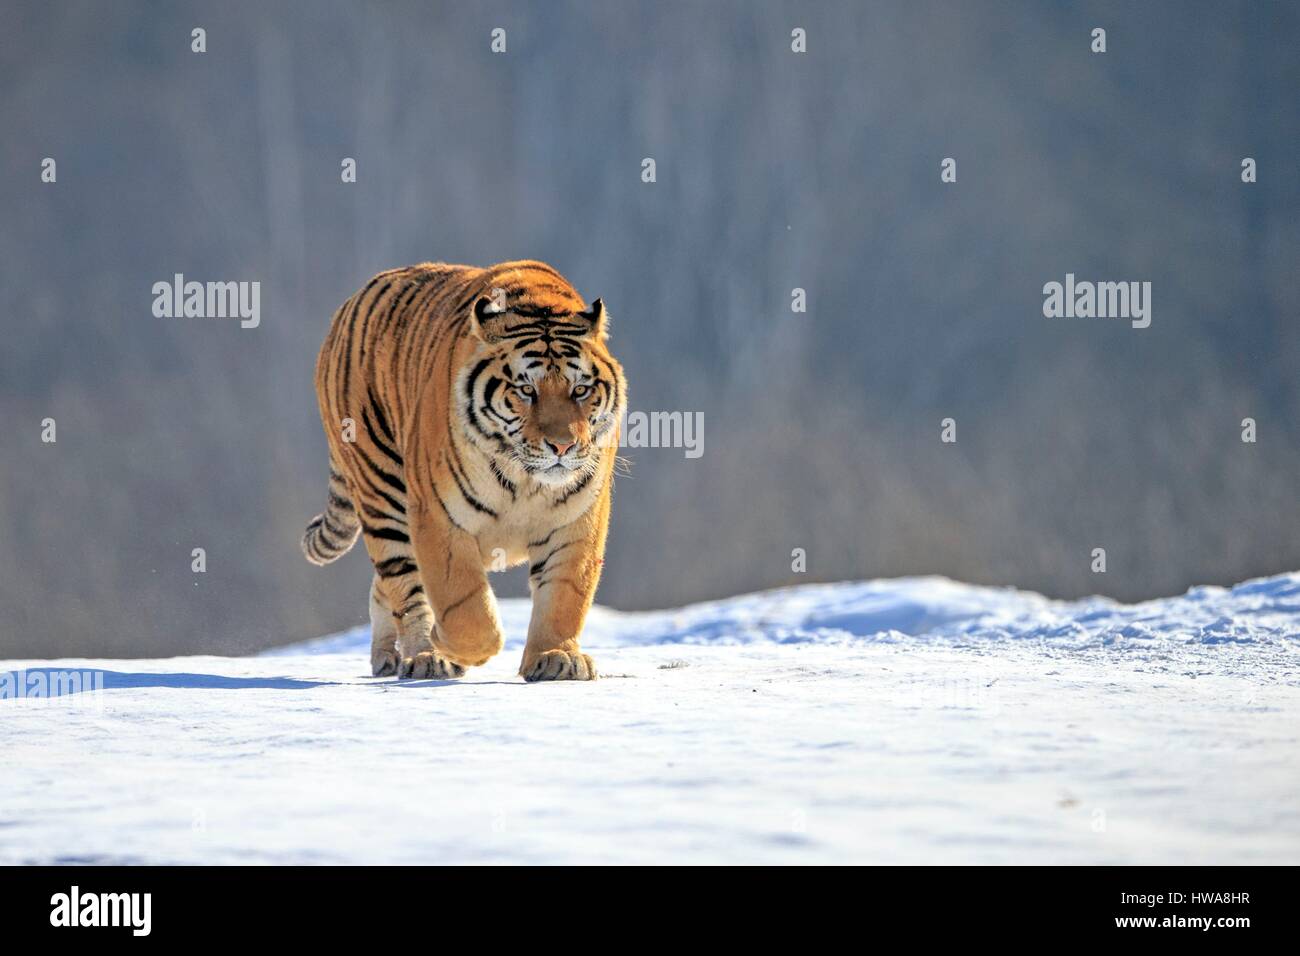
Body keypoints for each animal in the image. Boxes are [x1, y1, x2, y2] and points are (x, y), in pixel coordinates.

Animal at [301, 260, 626, 682]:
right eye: (526, 391)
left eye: (580, 390)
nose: (562, 446)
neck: (524, 482)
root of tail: (350, 303)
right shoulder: (439, 516)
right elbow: (464, 606)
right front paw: (452, 644)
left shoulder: (579, 519)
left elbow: (564, 594)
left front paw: (556, 657)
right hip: (383, 493)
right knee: (404, 587)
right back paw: (425, 657)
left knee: (383, 588)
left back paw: (388, 657)